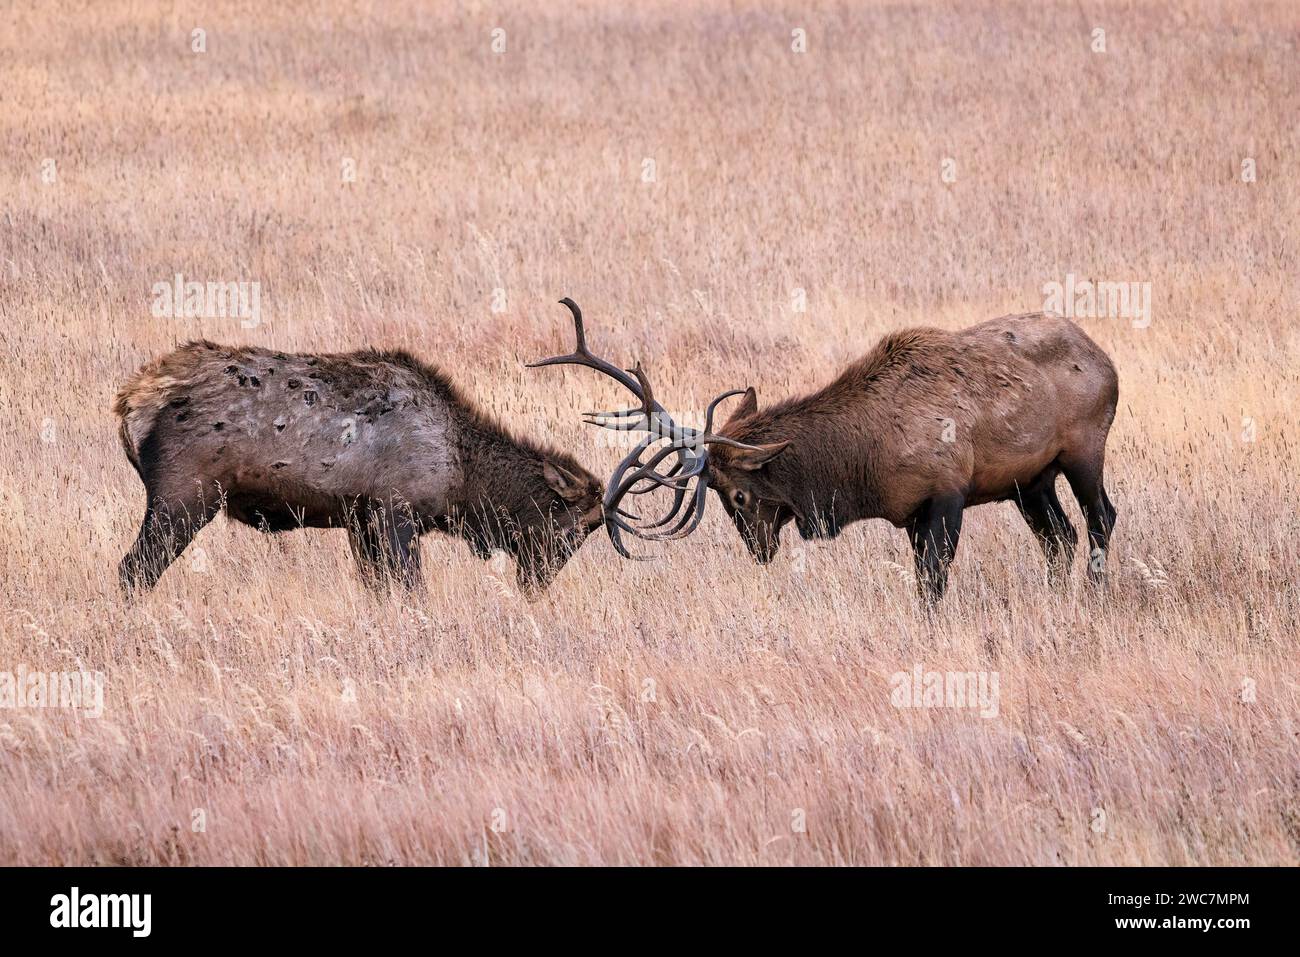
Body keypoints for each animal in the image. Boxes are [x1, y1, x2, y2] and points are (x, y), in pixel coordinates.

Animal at [113, 339, 605, 596]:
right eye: (573, 529)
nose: (537, 587)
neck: (462, 480)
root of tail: (130, 404)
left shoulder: (360, 520)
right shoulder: (396, 512)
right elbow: (412, 591)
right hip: (184, 495)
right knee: (132, 571)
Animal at [531, 299, 1119, 603]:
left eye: (738, 496)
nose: (759, 550)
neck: (865, 461)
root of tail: (1105, 359)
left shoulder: (946, 493)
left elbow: (932, 581)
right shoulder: (913, 513)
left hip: (1084, 451)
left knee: (1101, 519)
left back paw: (1094, 596)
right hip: (1030, 481)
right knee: (1059, 539)